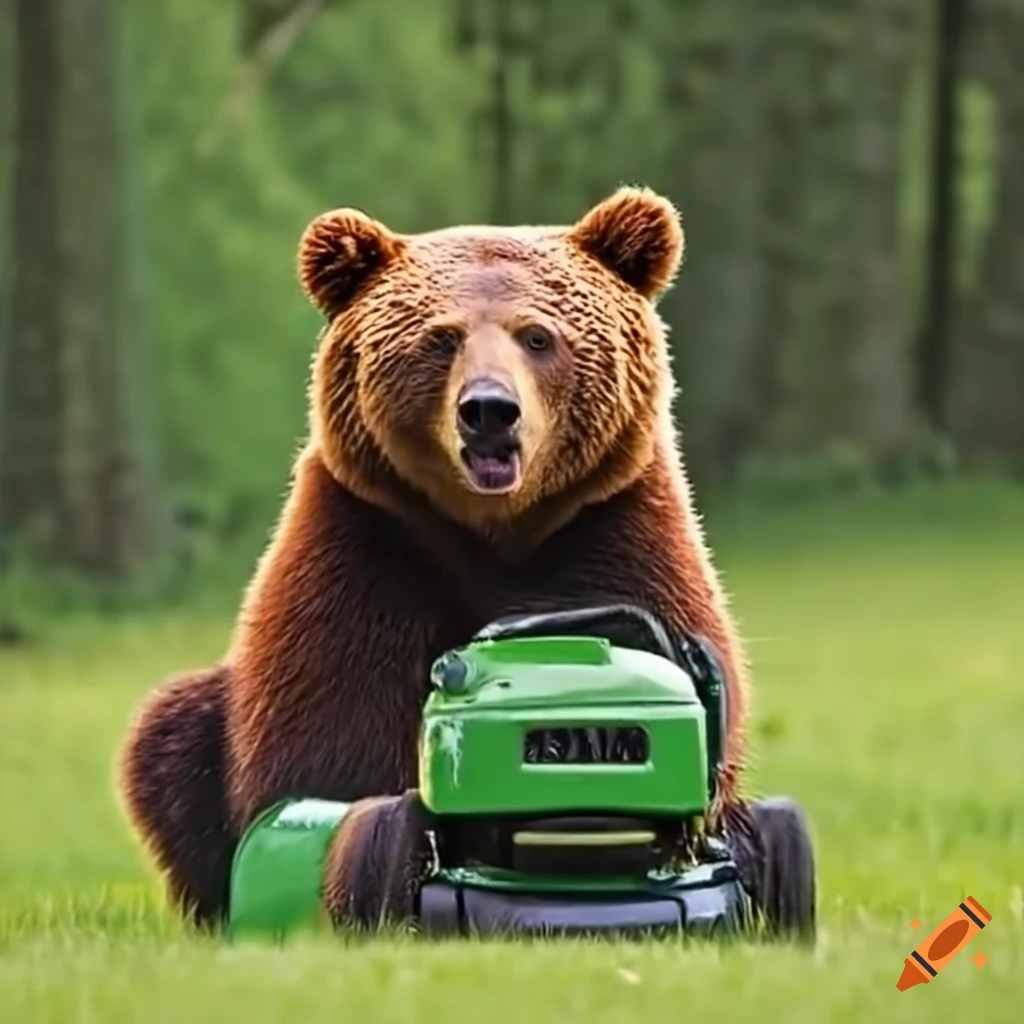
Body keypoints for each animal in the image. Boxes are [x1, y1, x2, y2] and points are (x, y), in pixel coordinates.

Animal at [118, 186, 813, 939]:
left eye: (537, 336)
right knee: (168, 740)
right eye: (440, 337)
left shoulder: (614, 528)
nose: (489, 410)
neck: (492, 532)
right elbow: (331, 741)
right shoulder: (370, 548)